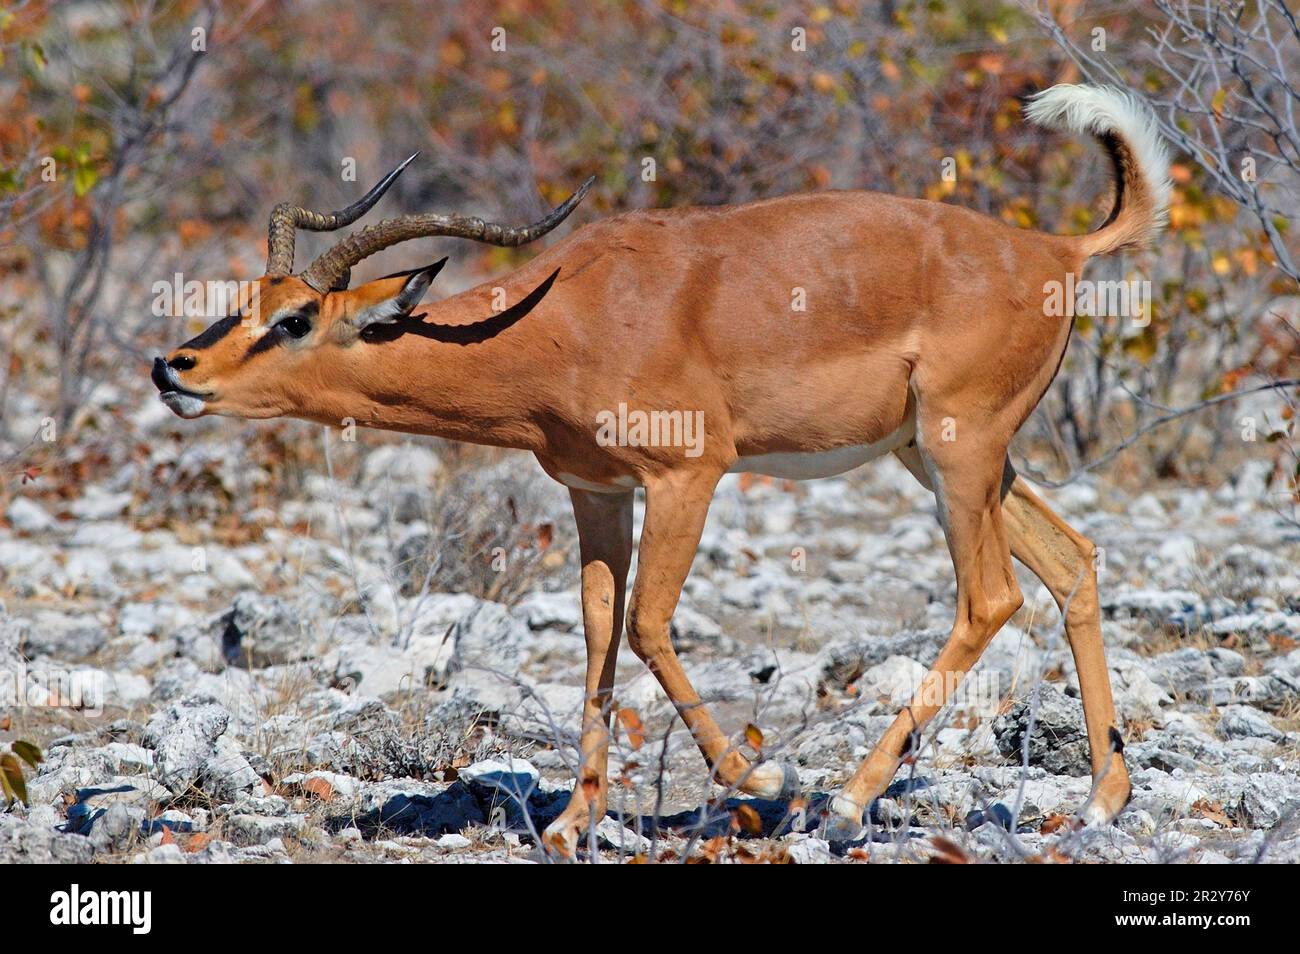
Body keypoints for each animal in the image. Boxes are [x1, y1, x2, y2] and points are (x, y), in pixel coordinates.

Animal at [155, 84, 1168, 851]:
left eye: (295, 319)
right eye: (252, 296)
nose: (174, 368)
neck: (568, 316)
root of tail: (1056, 249)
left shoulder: (689, 474)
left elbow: (647, 623)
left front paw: (764, 776)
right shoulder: (596, 490)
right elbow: (600, 633)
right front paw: (573, 822)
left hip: (961, 453)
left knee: (990, 596)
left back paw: (844, 805)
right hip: (942, 456)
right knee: (1073, 560)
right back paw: (1099, 801)